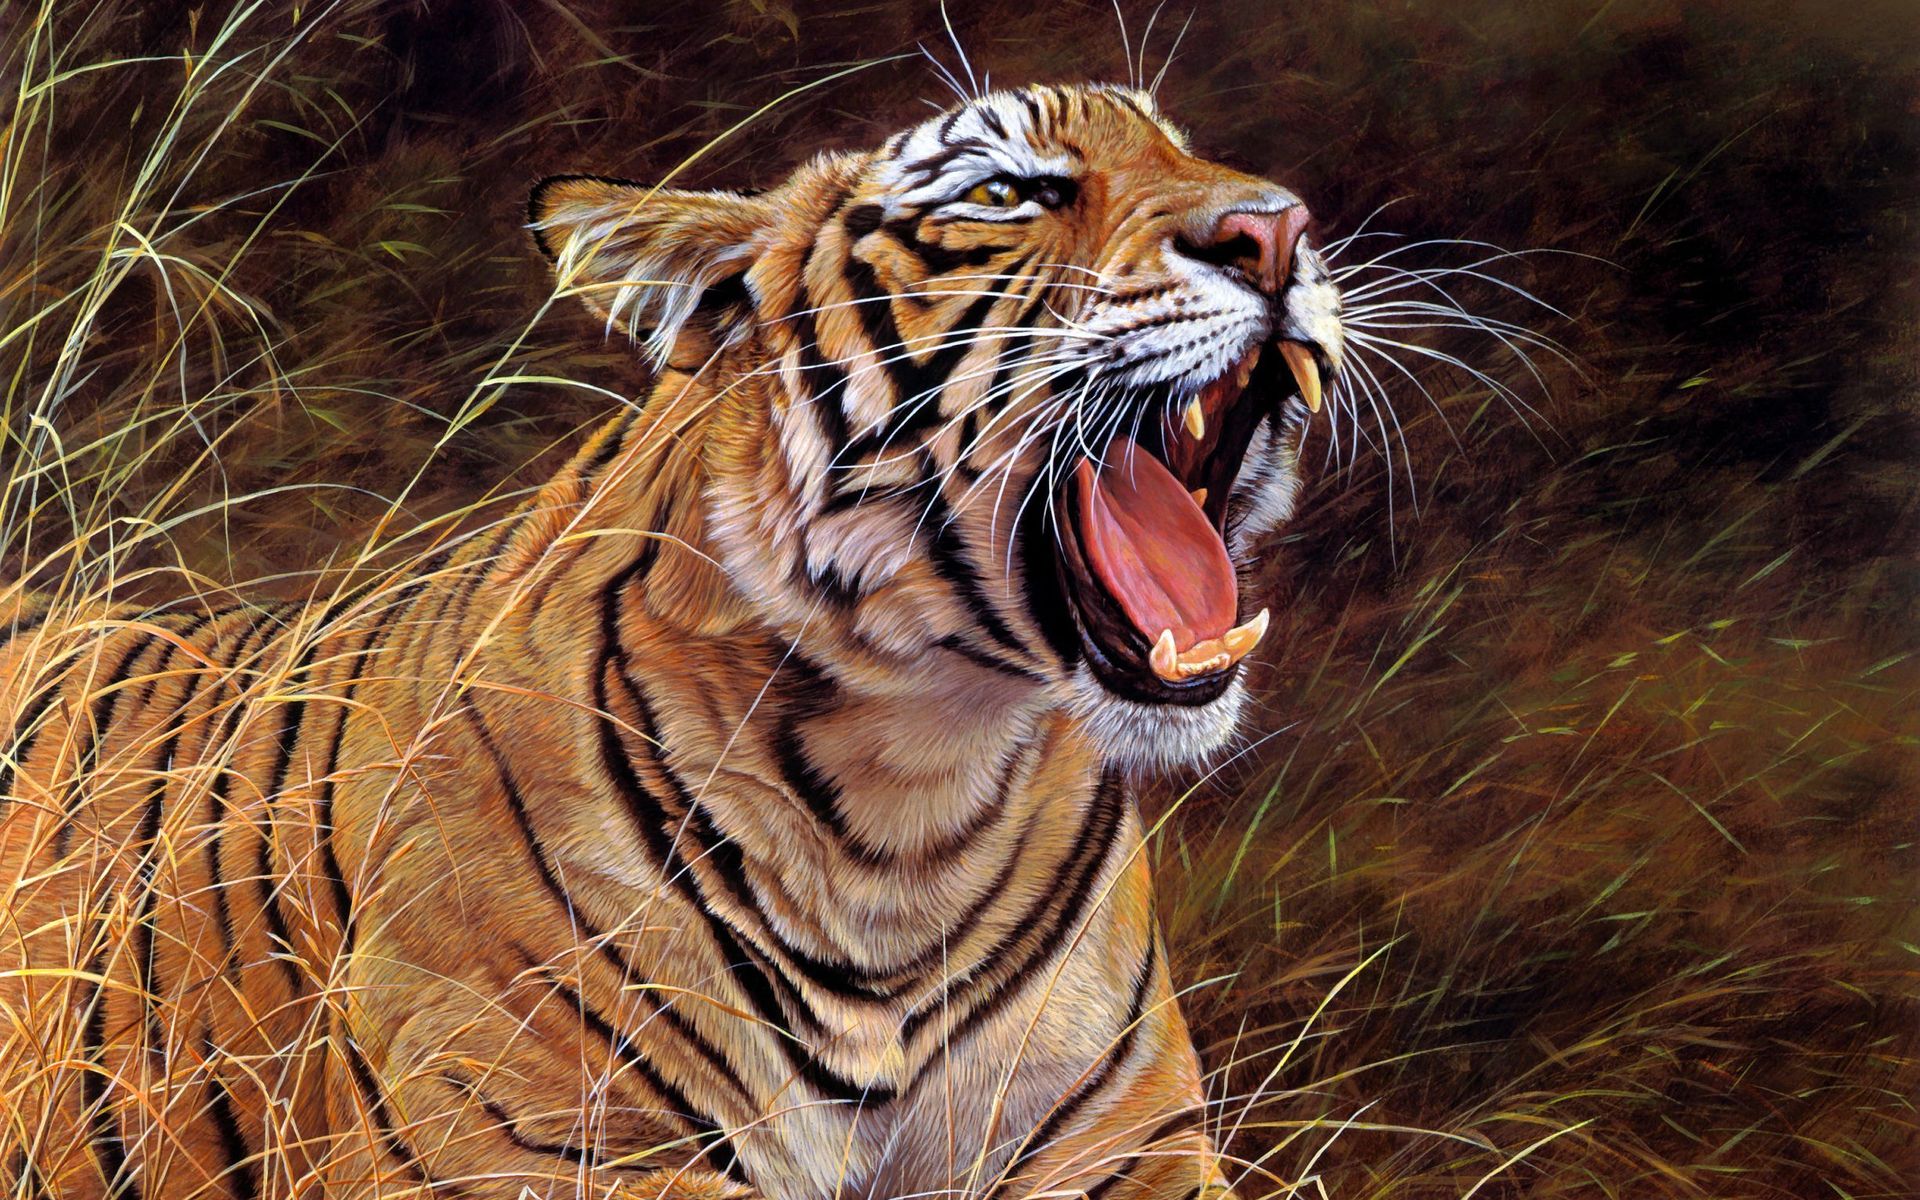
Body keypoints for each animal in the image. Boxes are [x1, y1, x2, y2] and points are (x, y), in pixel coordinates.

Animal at [1, 81, 1343, 1200]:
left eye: (1183, 147)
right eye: (1005, 193)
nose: (1276, 232)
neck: (907, 807)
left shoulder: (1129, 1151)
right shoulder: (540, 1154)